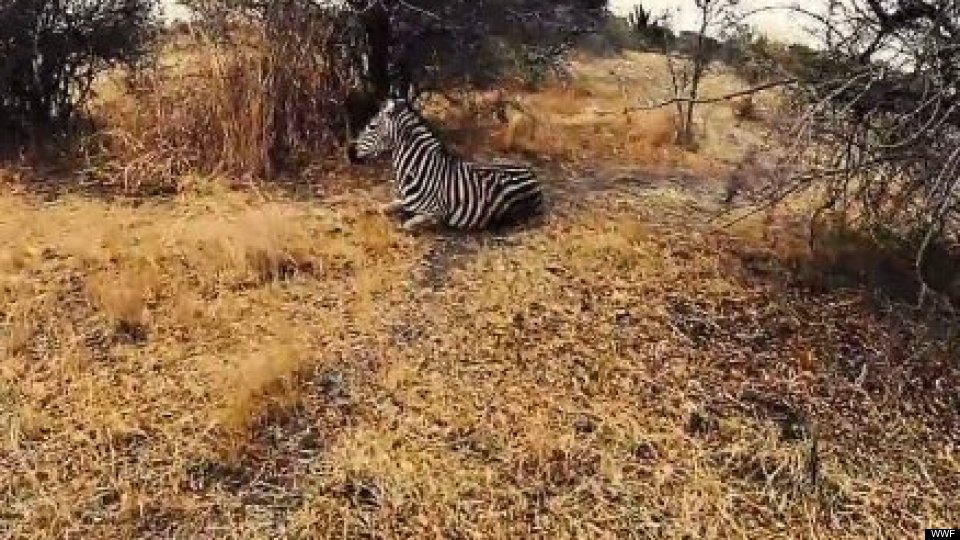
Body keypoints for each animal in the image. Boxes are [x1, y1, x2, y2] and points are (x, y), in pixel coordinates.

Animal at [347, 98, 544, 232]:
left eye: (372, 126)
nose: (349, 154)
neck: (419, 170)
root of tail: (530, 171)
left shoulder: (435, 214)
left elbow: (405, 225)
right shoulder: (403, 200)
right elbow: (380, 206)